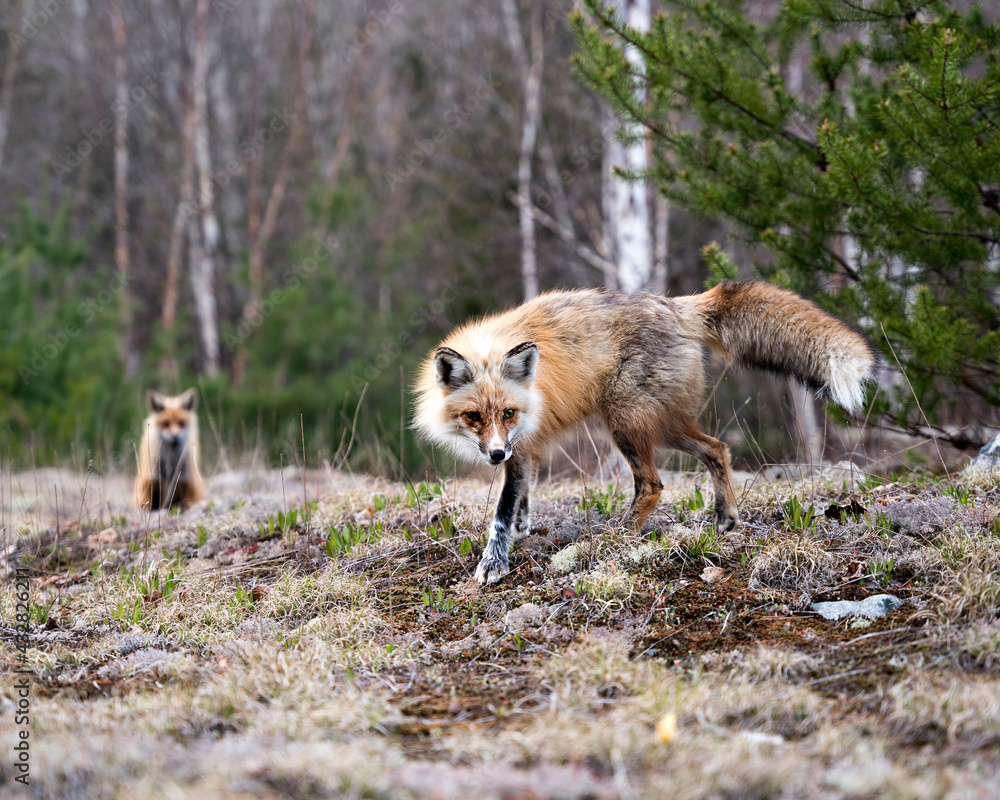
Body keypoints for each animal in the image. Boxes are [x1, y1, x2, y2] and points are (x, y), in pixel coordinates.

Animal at [415, 280, 875, 585]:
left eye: (507, 412)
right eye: (474, 416)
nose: (494, 456)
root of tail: (674, 304)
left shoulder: (521, 441)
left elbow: (501, 510)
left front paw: (493, 563)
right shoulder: (524, 446)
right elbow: (522, 495)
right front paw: (522, 528)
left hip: (627, 423)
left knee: (653, 485)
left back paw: (614, 538)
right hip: (664, 424)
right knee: (717, 449)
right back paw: (725, 519)